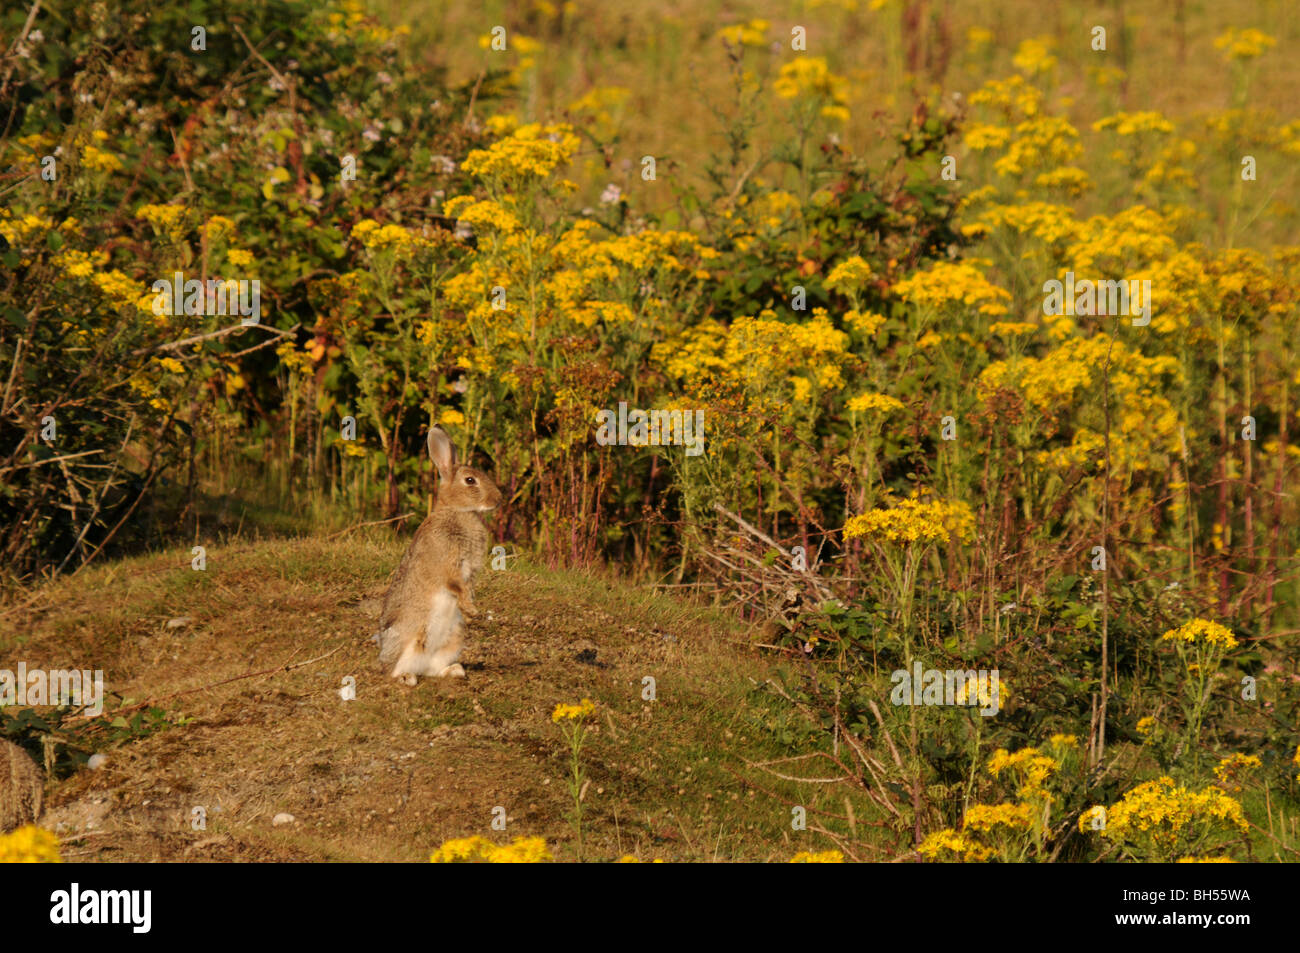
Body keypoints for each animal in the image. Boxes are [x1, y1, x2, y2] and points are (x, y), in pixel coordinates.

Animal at [377, 425, 502, 685]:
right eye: (470, 480)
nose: (498, 500)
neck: (458, 511)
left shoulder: (469, 571)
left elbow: (468, 586)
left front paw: (471, 609)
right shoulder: (448, 566)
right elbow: (456, 585)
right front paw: (471, 609)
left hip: (453, 639)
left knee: (433, 669)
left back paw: (454, 671)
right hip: (407, 636)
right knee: (395, 670)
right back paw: (406, 678)